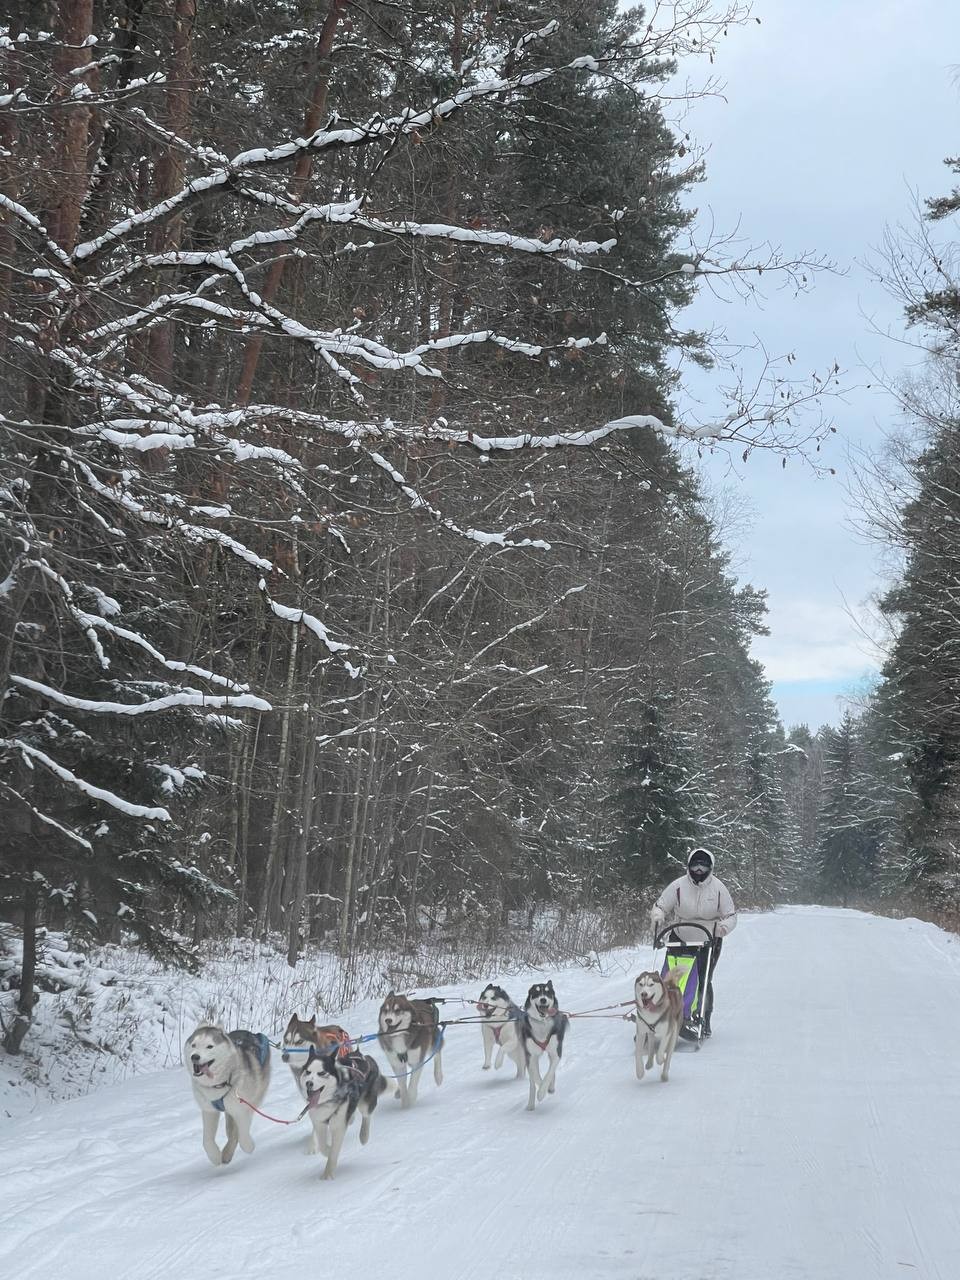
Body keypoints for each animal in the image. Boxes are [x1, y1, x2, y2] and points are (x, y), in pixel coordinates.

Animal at [184, 1024, 271, 1167]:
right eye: (194, 1045)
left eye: (209, 1046)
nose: (194, 1056)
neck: (220, 1084)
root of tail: (252, 1034)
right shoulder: (209, 1110)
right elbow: (206, 1140)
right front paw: (214, 1156)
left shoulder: (241, 1109)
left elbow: (242, 1134)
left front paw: (249, 1146)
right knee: (230, 1131)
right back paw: (226, 1153)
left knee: (236, 1131)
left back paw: (229, 1151)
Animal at [302, 1049, 389, 1177]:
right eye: (308, 1072)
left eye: (322, 1073)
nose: (308, 1083)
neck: (328, 1099)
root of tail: (364, 1056)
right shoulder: (319, 1123)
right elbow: (323, 1146)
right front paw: (327, 1150)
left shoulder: (338, 1126)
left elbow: (334, 1152)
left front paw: (327, 1175)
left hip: (365, 1103)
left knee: (366, 1115)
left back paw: (364, 1135)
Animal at [522, 977, 568, 1111]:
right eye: (536, 993)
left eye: (548, 993)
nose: (543, 999)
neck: (542, 1023)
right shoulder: (531, 1056)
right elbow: (536, 1077)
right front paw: (541, 1089)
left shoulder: (556, 1053)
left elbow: (549, 1073)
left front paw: (542, 1092)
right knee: (532, 1082)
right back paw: (531, 1104)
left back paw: (550, 1087)